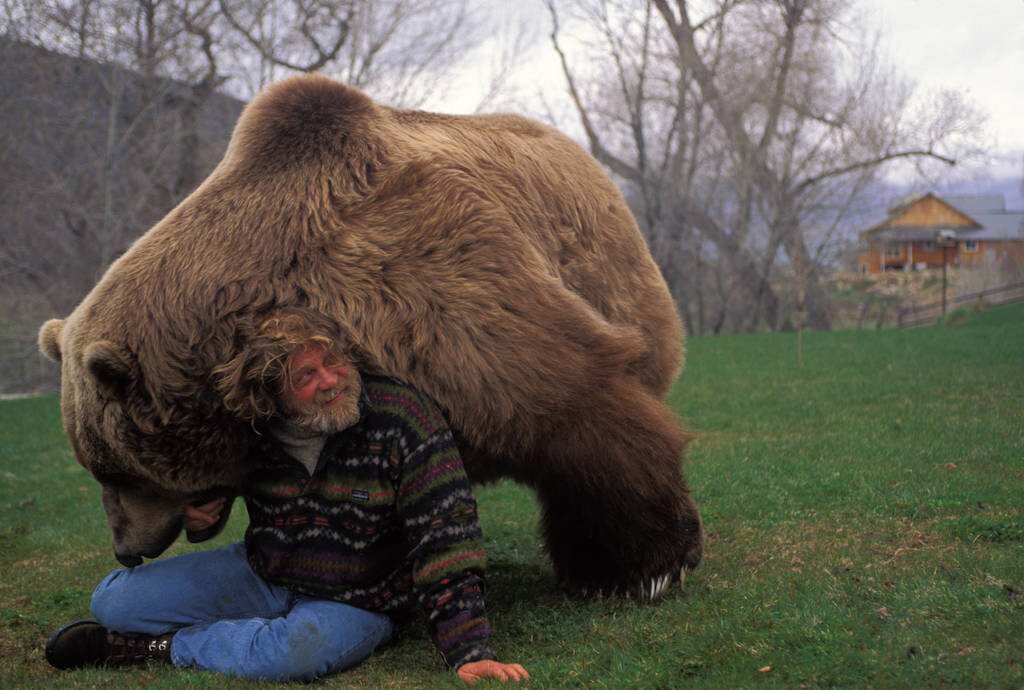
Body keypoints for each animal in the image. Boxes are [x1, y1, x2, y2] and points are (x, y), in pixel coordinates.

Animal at [36, 73, 700, 597]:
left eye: (117, 474)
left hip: (612, 276)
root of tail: (585, 157)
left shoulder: (429, 277)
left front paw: (642, 567)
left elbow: (569, 404)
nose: (125, 548)